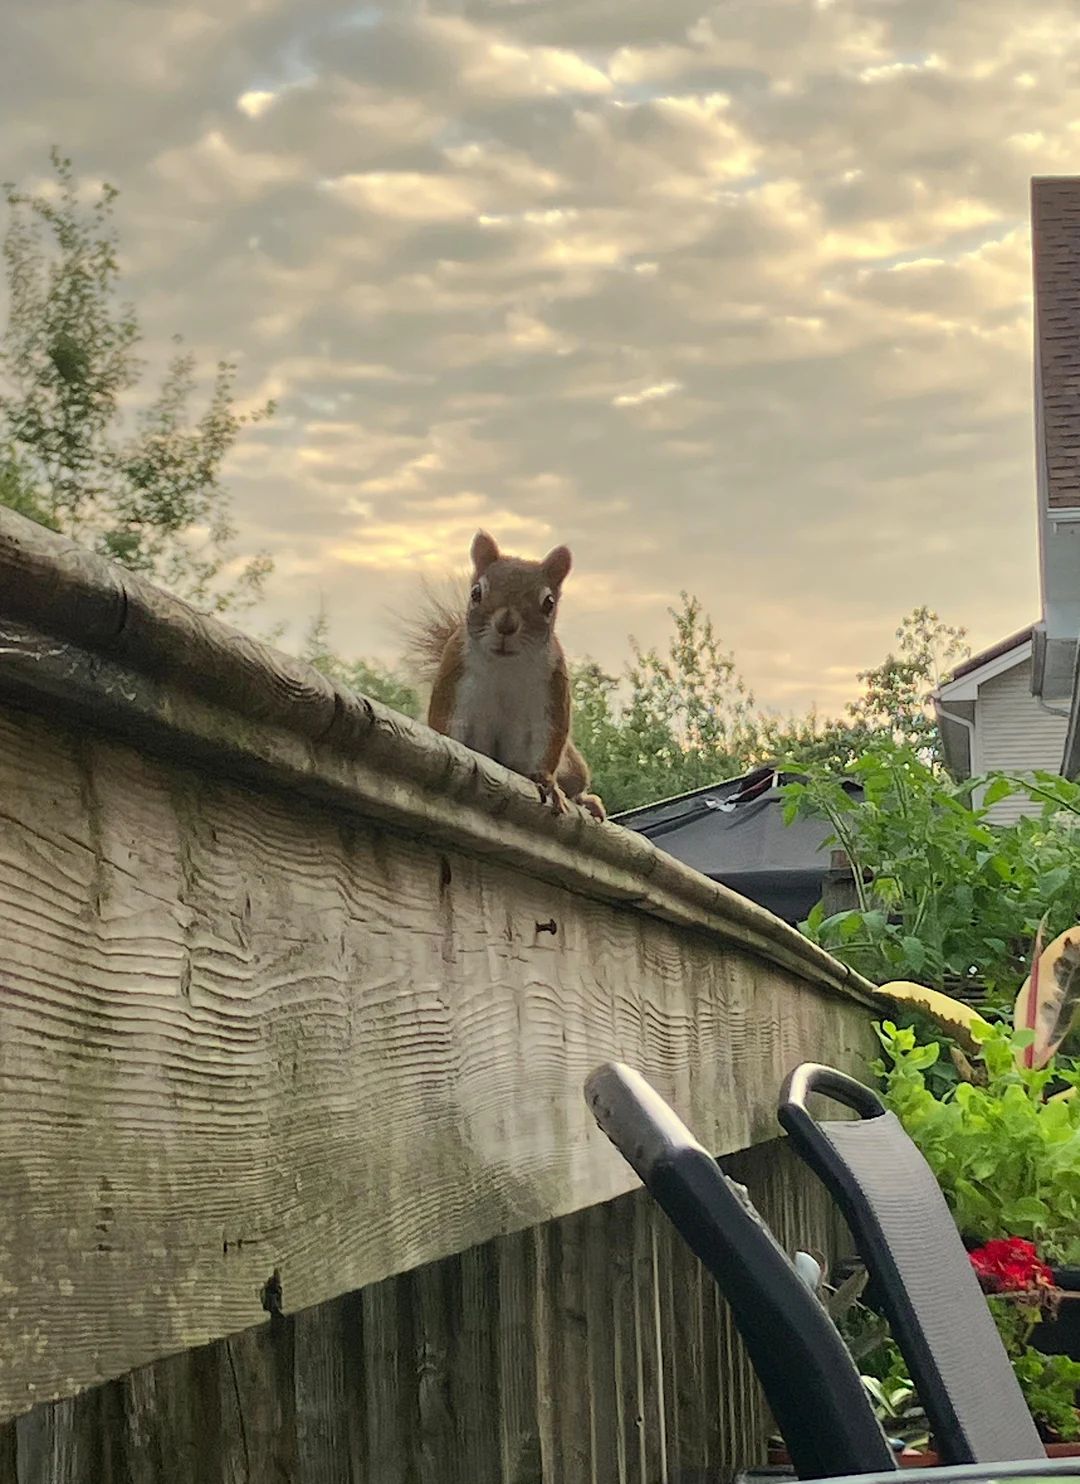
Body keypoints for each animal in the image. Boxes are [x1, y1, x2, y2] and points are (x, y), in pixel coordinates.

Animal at [404, 530, 606, 820]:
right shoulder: (453, 682)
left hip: (573, 765)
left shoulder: (552, 692)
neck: (505, 666)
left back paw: (585, 800)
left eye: (549, 603)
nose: (506, 625)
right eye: (476, 593)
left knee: (575, 781)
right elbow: (450, 725)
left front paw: (546, 781)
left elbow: (547, 739)